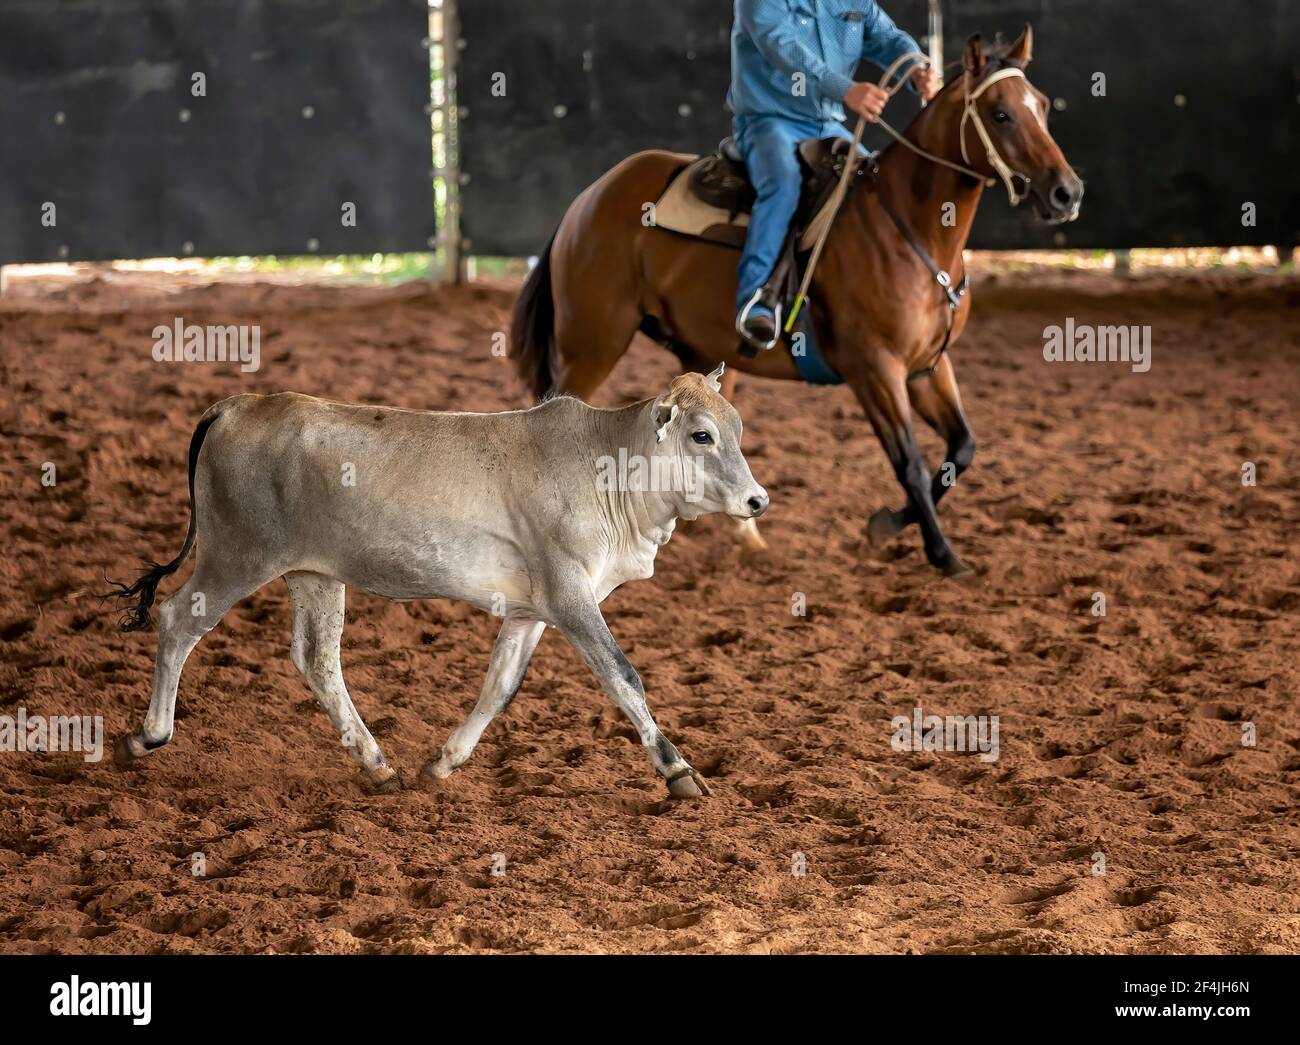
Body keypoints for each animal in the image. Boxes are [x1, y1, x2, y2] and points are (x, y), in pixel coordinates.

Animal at [102, 367, 767, 798]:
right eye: (701, 434)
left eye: (737, 430)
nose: (757, 500)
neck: (605, 466)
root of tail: (237, 404)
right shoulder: (570, 594)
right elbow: (623, 677)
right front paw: (678, 771)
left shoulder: (531, 609)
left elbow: (500, 687)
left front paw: (442, 765)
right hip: (236, 557)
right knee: (176, 622)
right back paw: (148, 736)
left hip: (315, 575)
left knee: (317, 658)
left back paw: (377, 764)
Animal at [509, 26, 1082, 577]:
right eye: (1001, 113)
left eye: (1043, 106)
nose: (1067, 192)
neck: (906, 230)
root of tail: (587, 199)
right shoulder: (875, 370)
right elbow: (913, 465)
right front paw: (942, 554)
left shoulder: (927, 368)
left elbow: (960, 451)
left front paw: (889, 525)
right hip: (593, 345)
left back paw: (746, 537)